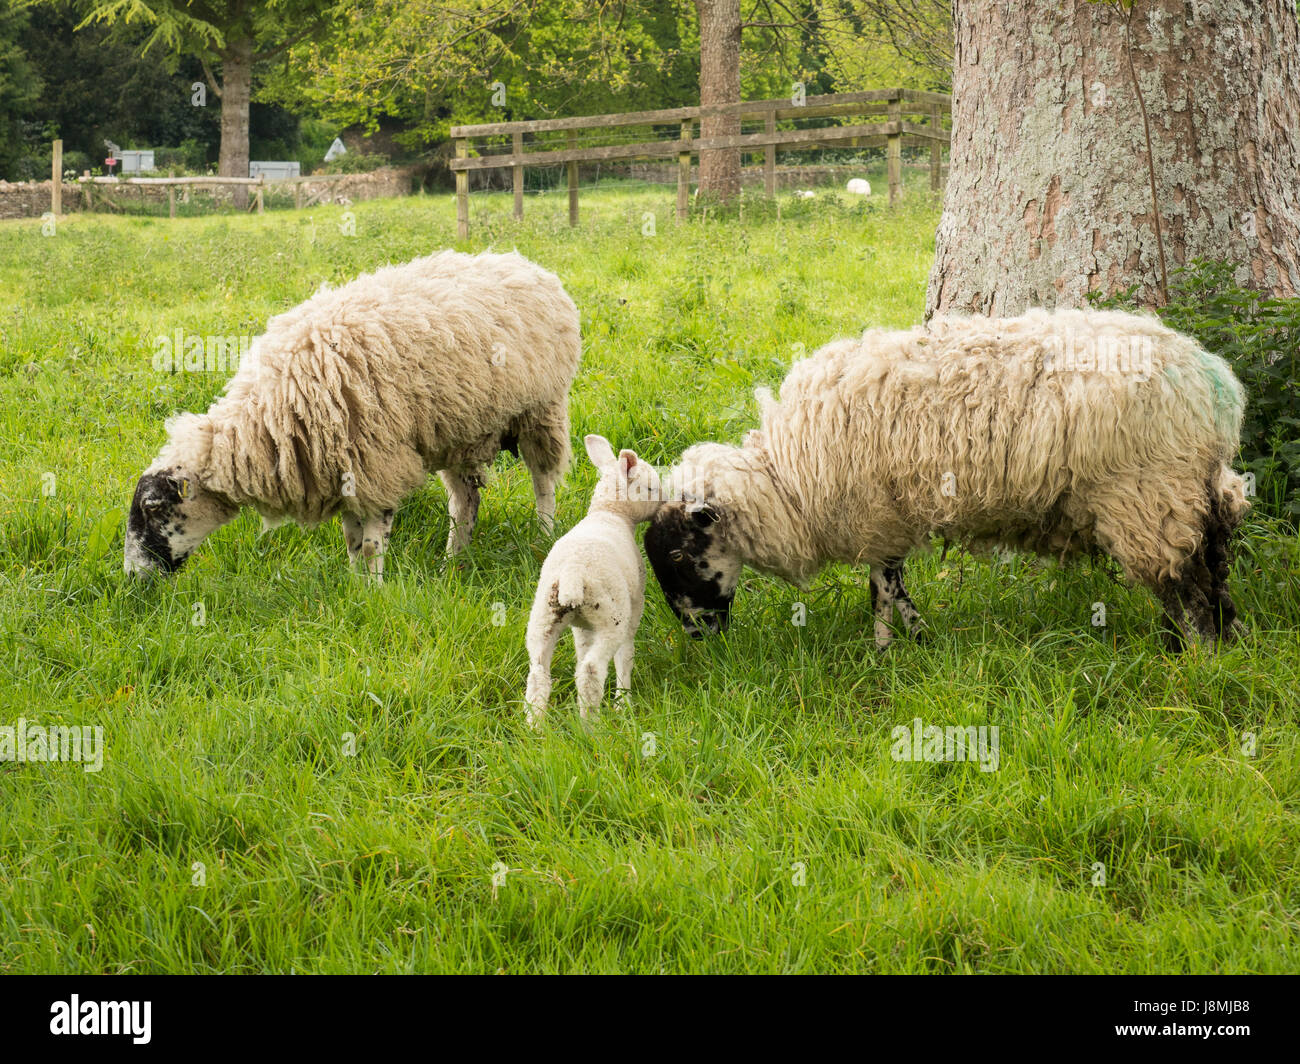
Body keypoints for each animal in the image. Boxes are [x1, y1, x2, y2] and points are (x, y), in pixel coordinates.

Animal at [124, 250, 581, 581]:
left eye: (153, 507)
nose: (132, 578)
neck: (267, 422)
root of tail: (526, 263)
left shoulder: (375, 463)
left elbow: (373, 542)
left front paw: (375, 590)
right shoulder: (340, 465)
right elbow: (351, 539)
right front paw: (355, 584)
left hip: (541, 410)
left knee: (544, 481)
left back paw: (543, 535)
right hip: (458, 429)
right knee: (466, 501)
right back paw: (453, 560)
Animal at [524, 435, 664, 727]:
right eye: (650, 488)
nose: (664, 505)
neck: (610, 513)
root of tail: (572, 575)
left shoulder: (582, 627)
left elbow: (580, 652)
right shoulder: (633, 606)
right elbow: (625, 655)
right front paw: (623, 702)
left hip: (544, 614)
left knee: (539, 672)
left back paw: (534, 727)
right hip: (611, 615)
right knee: (591, 670)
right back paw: (592, 725)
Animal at [645, 307, 1250, 651]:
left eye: (676, 555)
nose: (697, 640)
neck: (785, 479)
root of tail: (1210, 381)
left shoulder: (879, 515)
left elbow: (884, 587)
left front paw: (892, 647)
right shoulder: (886, 519)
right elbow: (887, 583)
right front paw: (908, 642)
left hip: (1145, 492)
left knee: (1182, 579)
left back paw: (1197, 655)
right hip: (1195, 484)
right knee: (1214, 558)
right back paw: (1225, 637)